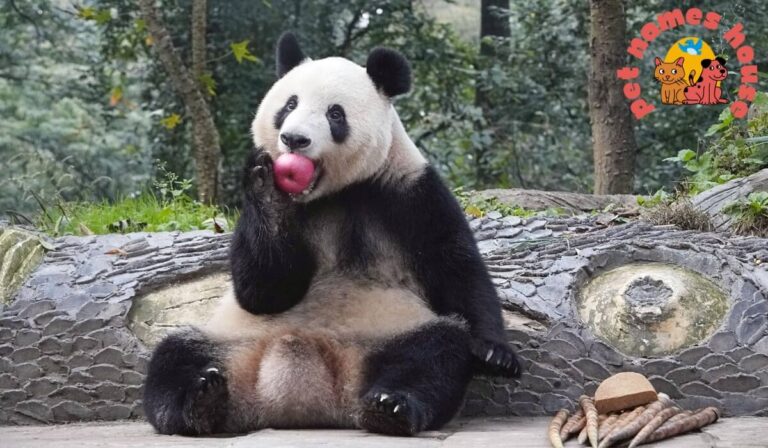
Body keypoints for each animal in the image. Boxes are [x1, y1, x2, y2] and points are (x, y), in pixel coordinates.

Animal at [143, 32, 520, 437]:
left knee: (436, 352)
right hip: (231, 342)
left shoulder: (408, 191)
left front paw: (496, 353)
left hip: (386, 334)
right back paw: (200, 402)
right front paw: (265, 184)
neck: (332, 193)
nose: (294, 139)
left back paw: (391, 407)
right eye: (289, 104)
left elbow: (456, 266)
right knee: (175, 355)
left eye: (334, 114)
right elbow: (262, 291)